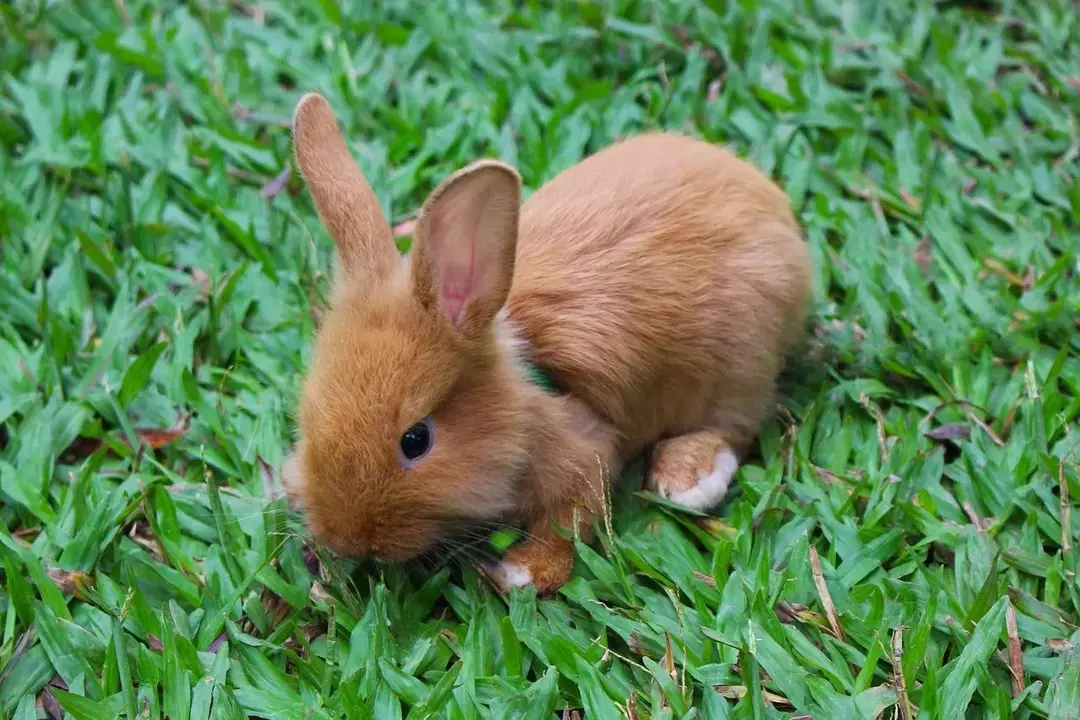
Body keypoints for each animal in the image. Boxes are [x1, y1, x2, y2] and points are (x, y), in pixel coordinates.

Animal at [285, 92, 812, 595]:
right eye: (308, 416)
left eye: (416, 440)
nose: (345, 539)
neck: (522, 401)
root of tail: (774, 208)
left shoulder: (585, 458)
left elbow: (569, 524)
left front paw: (519, 573)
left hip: (739, 362)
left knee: (734, 425)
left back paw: (687, 480)